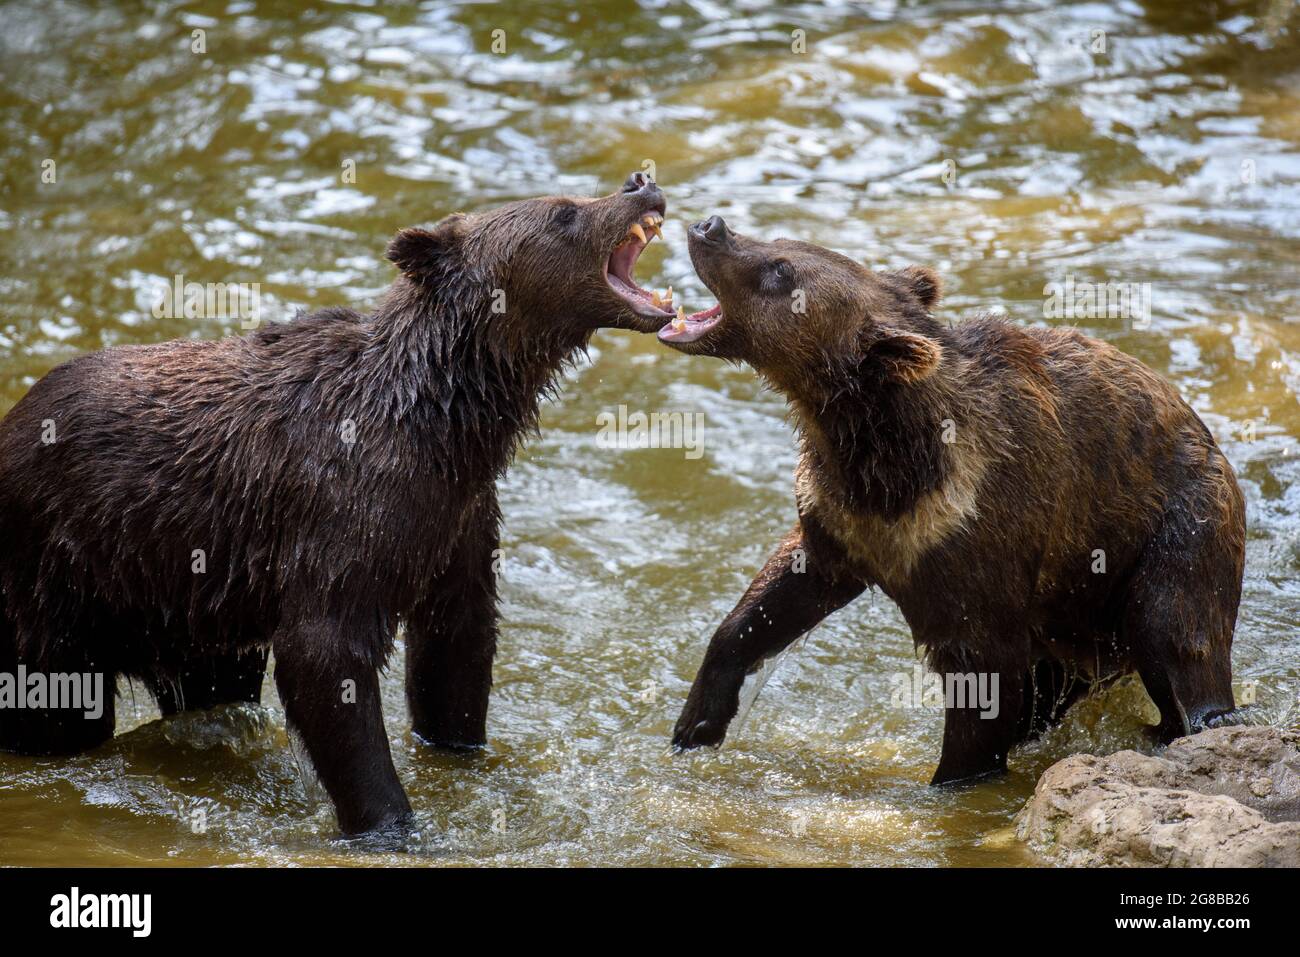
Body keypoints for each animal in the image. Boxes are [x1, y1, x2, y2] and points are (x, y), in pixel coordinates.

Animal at [0, 172, 675, 835]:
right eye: (563, 212)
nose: (640, 181)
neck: (446, 420)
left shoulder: (459, 515)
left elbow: (456, 643)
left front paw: (465, 754)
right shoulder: (342, 511)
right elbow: (326, 656)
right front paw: (393, 824)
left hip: (184, 599)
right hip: (63, 579)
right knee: (54, 706)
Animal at [659, 214, 1245, 784]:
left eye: (781, 271)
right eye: (782, 241)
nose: (711, 226)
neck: (885, 459)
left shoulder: (976, 539)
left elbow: (983, 679)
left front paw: (952, 778)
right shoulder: (843, 519)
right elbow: (771, 601)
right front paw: (697, 723)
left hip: (1172, 526)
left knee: (1175, 633)